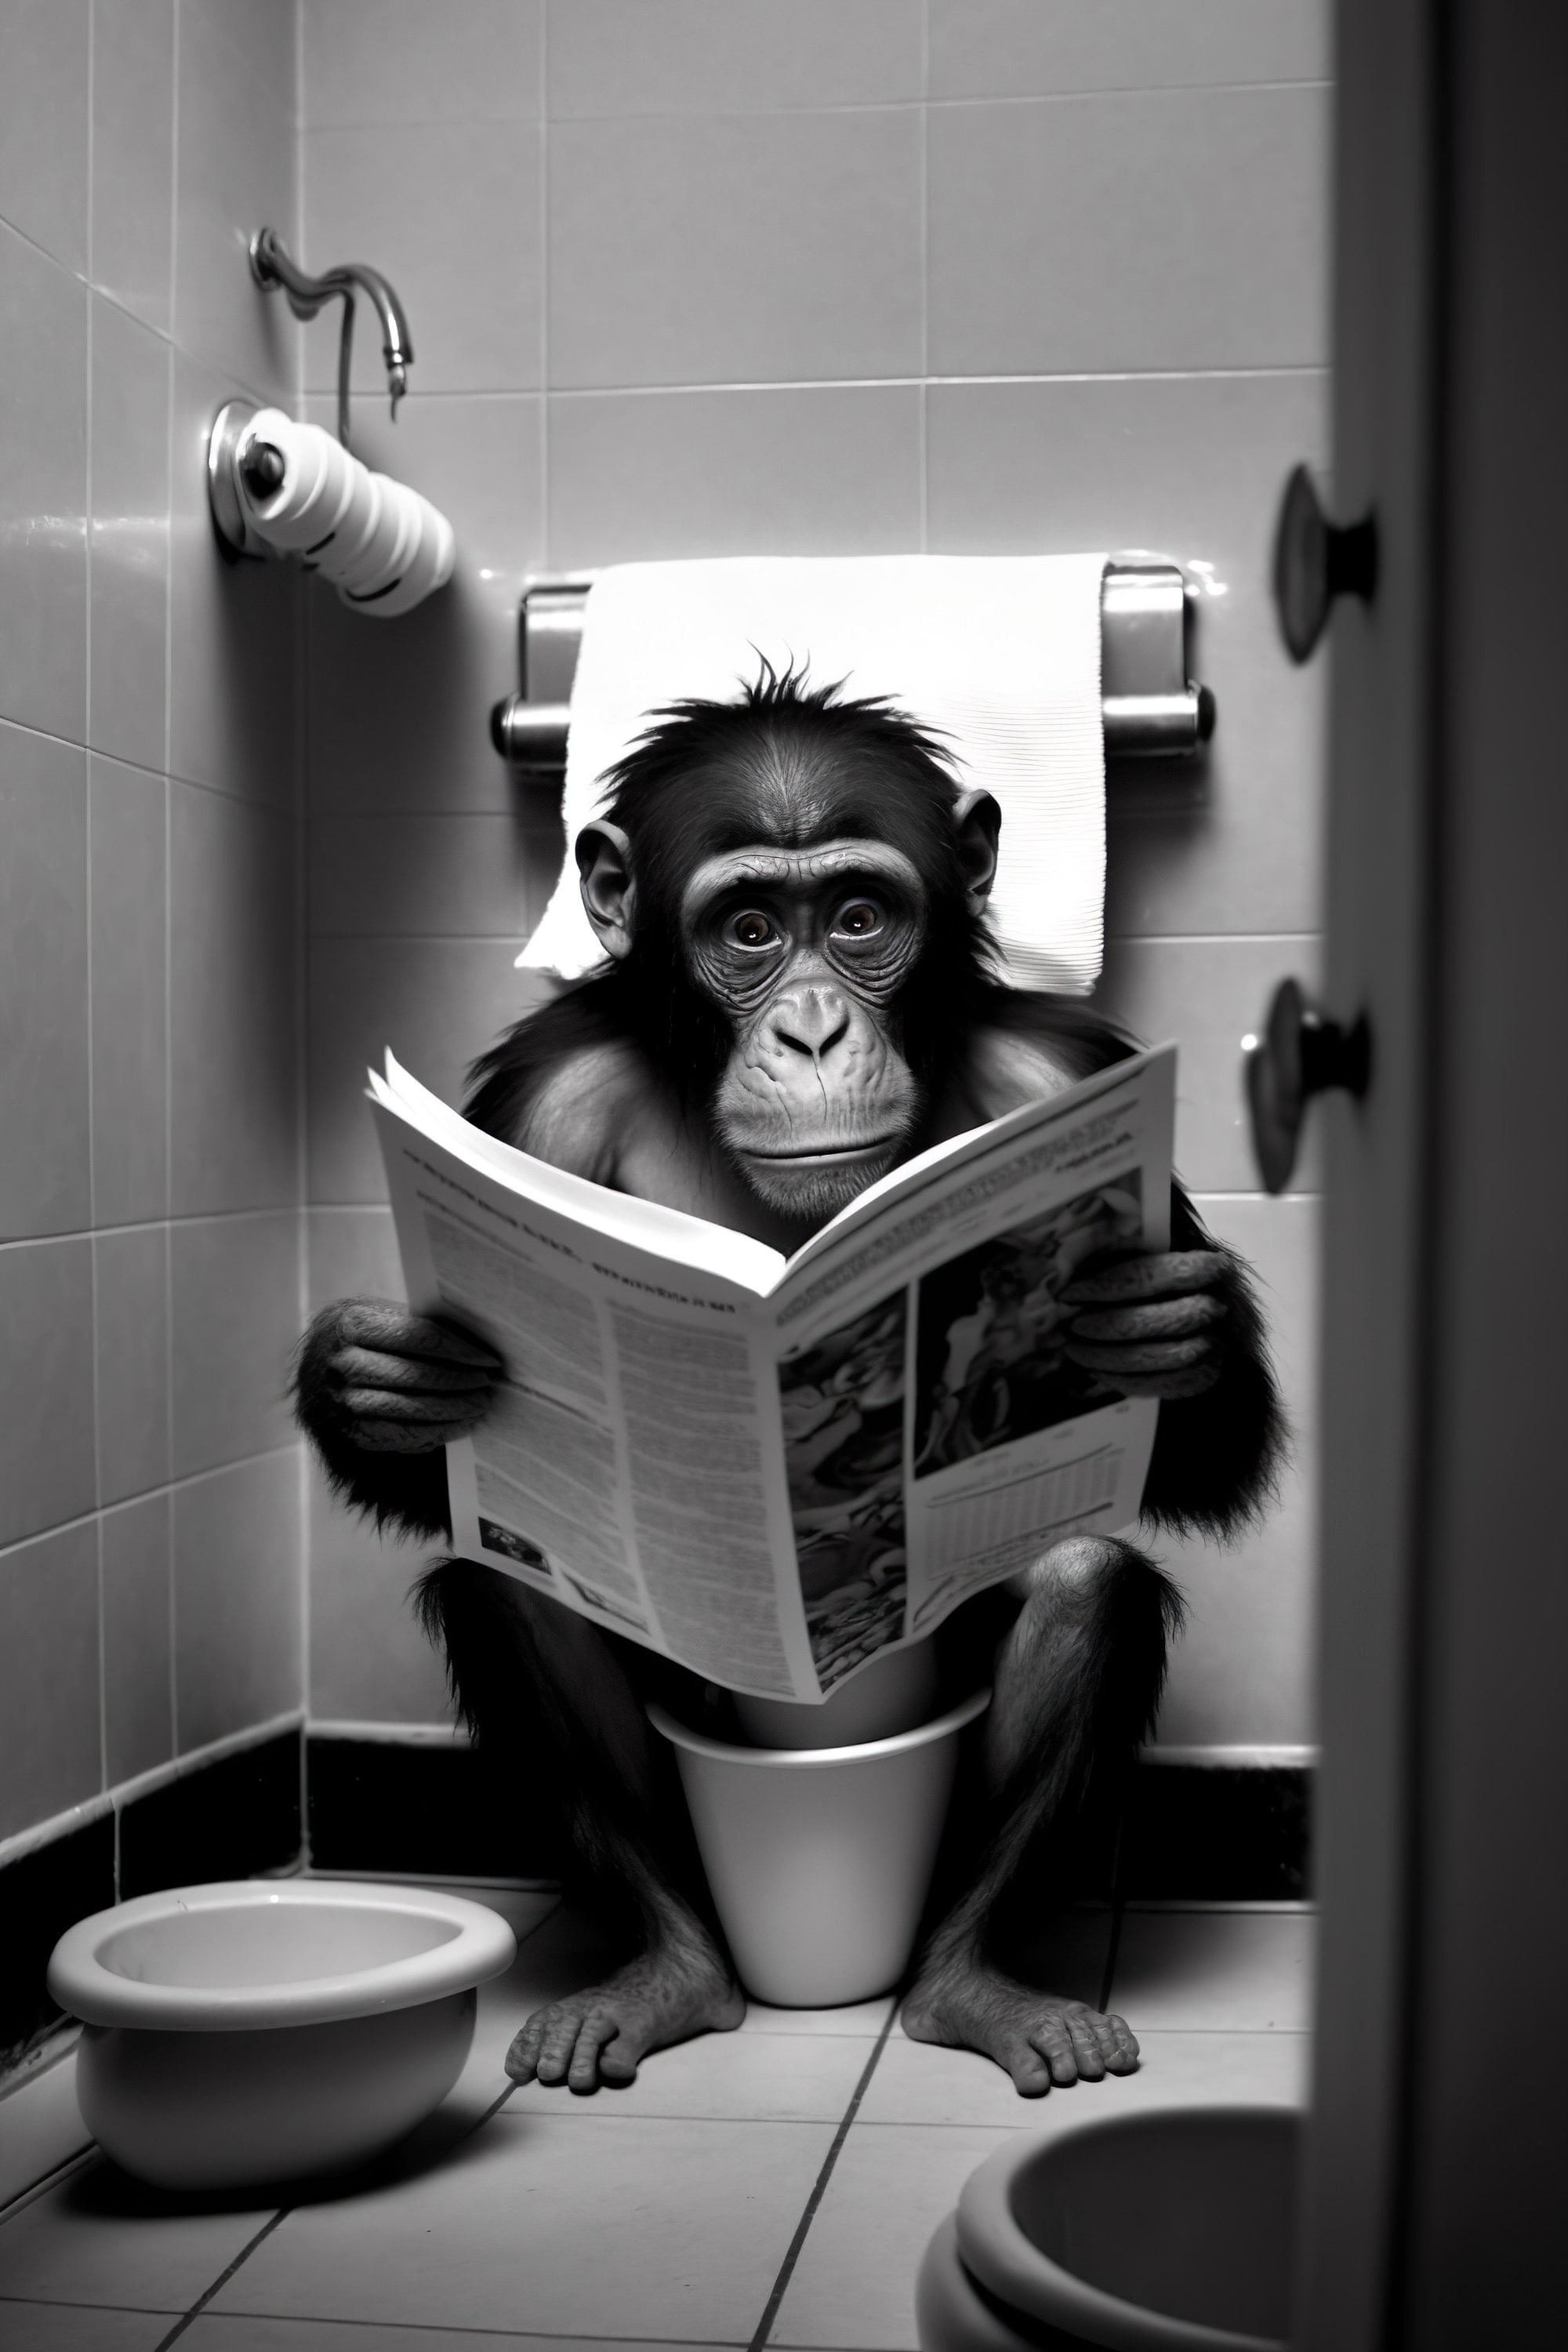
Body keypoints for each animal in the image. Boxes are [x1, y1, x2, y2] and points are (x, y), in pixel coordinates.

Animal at [295, 665, 1284, 2097]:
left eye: (862, 917)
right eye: (751, 927)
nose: (814, 1029)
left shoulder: (1066, 1078)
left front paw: (1169, 1319)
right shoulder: (543, 1108)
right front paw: (376, 1375)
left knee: (1083, 1579)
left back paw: (971, 1984)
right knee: (518, 1584)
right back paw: (667, 1971)